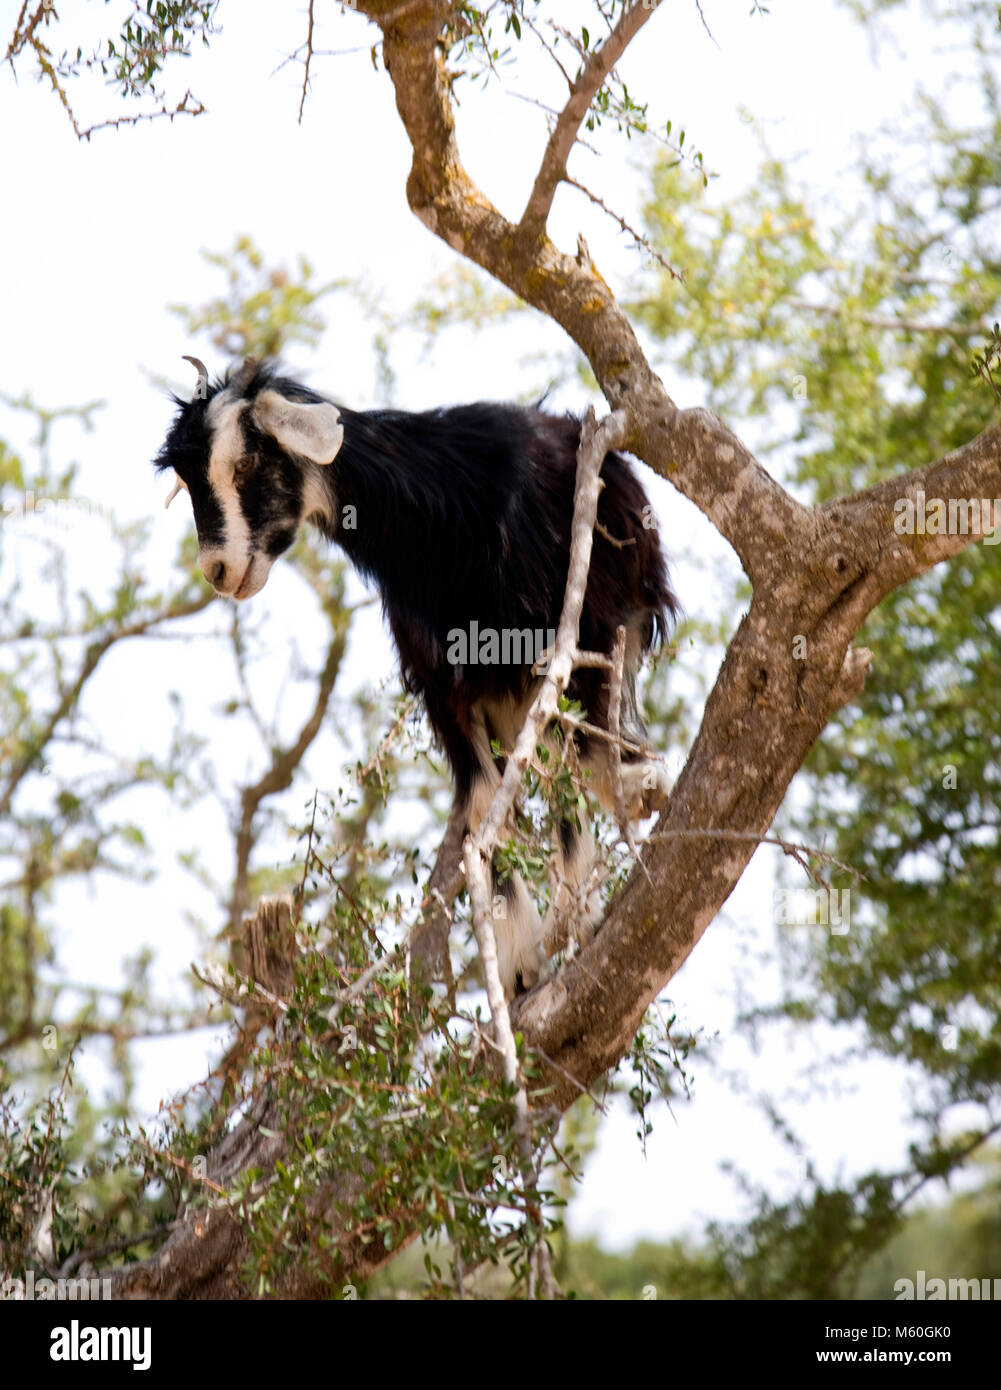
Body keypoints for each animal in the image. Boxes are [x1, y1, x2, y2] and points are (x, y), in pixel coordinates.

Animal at [154, 356, 678, 996]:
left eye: (247, 462)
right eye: (188, 479)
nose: (218, 570)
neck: (438, 521)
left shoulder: (558, 640)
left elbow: (561, 770)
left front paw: (572, 916)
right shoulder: (444, 685)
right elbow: (485, 807)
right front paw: (516, 963)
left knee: (585, 748)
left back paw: (635, 792)